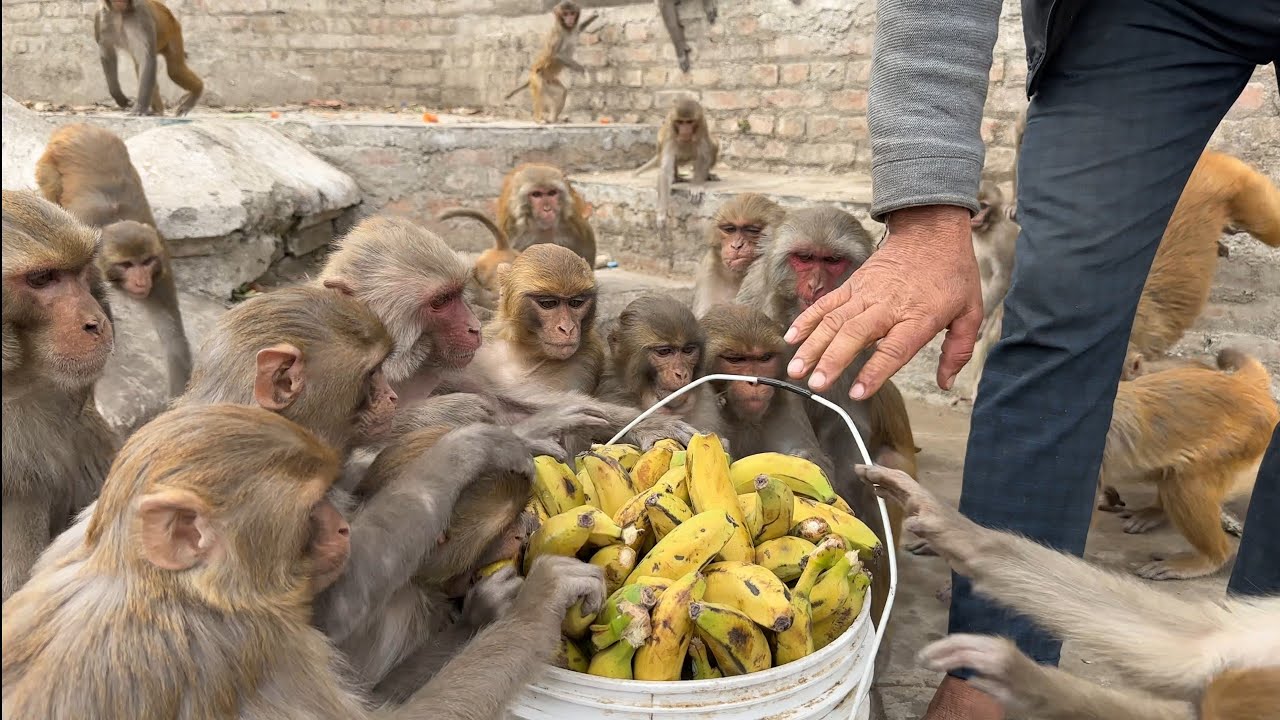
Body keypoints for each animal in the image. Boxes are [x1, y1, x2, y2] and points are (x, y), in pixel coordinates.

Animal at [2, 403, 607, 720]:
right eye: (507, 532)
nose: (527, 530)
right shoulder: (256, 643)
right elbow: (339, 615)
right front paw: (533, 601)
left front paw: (483, 613)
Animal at [35, 123, 192, 398]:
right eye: (126, 265)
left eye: (146, 262)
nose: (141, 282)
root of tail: (77, 127)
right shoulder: (84, 266)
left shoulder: (160, 270)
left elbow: (174, 341)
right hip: (48, 167)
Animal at [634, 98, 721, 232]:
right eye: (680, 122)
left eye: (689, 122)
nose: (684, 130)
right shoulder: (670, 135)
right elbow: (665, 172)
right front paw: (661, 213)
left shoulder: (702, 127)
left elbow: (704, 157)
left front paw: (696, 186)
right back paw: (676, 177)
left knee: (713, 144)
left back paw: (707, 175)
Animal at [737, 205, 920, 626]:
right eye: (804, 258)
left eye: (833, 261)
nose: (818, 286)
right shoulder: (753, 317)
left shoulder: (858, 332)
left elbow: (849, 427)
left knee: (888, 468)